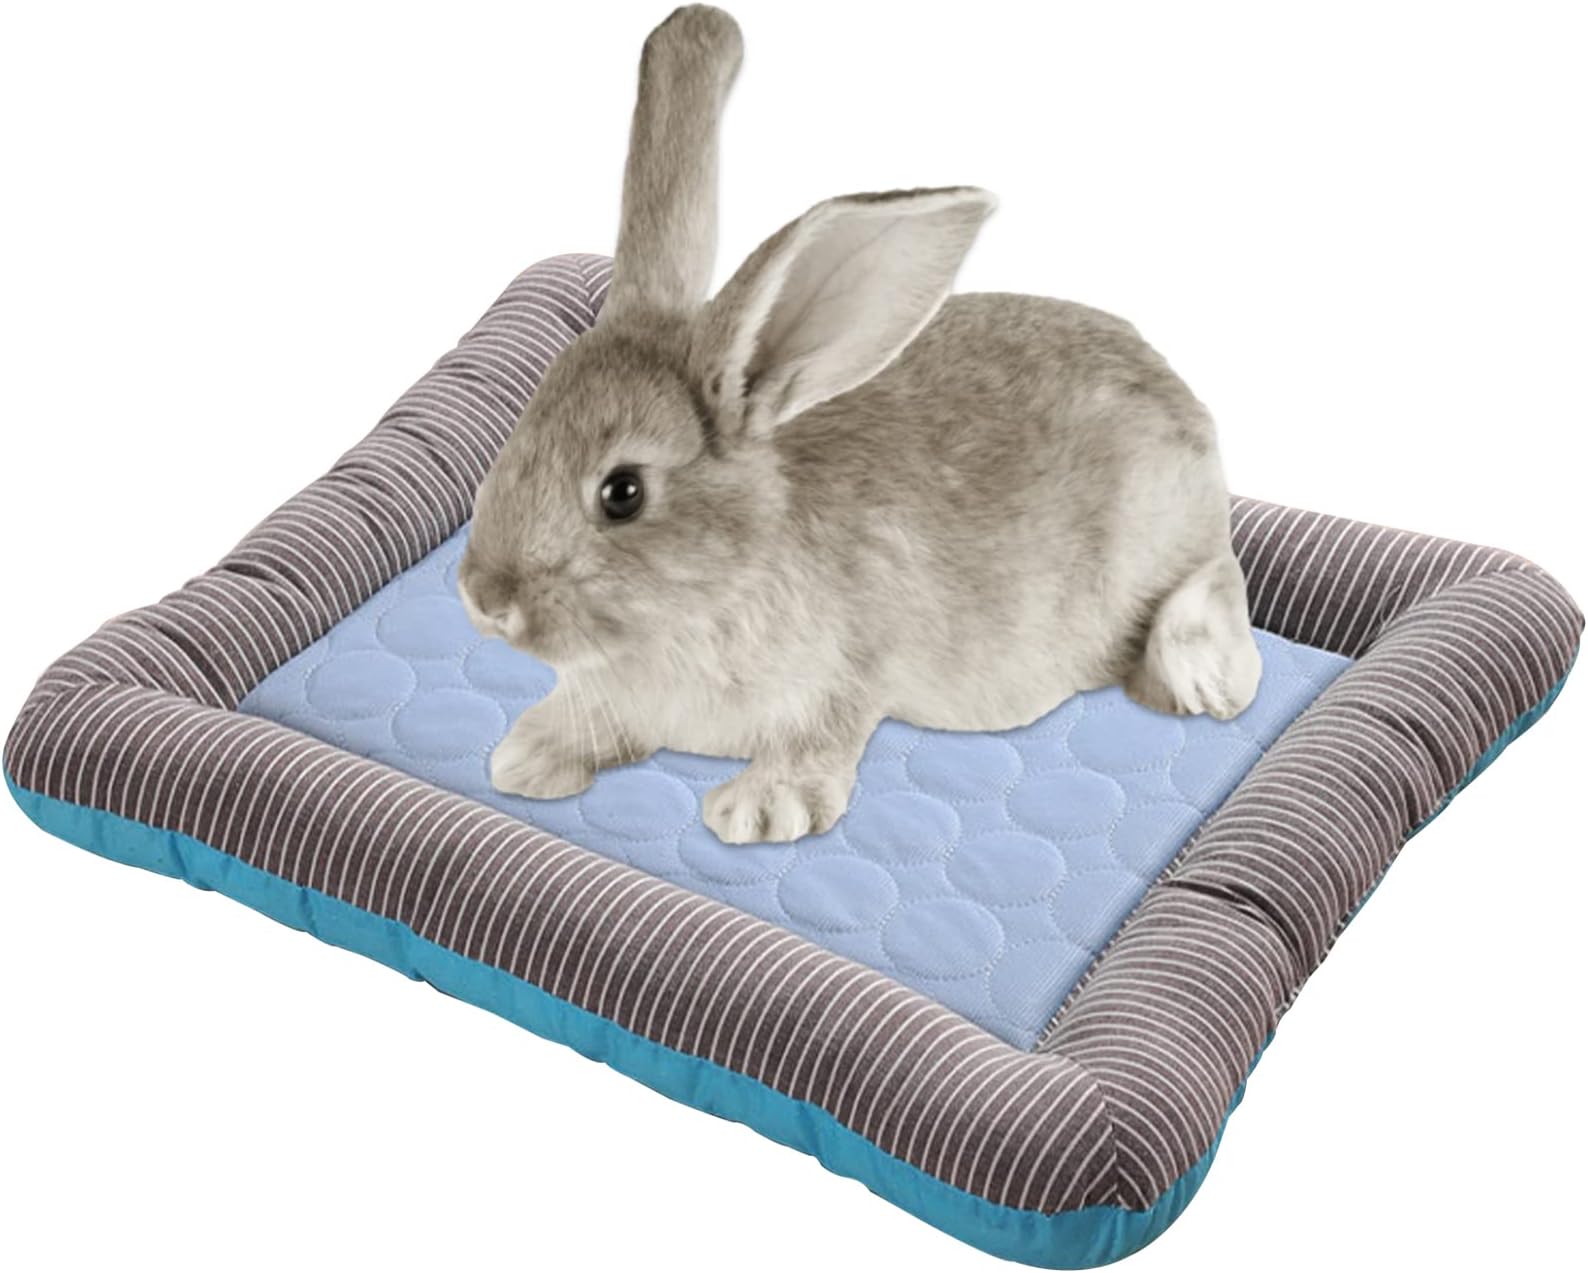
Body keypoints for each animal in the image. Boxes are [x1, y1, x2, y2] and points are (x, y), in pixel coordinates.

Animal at [459, 5, 1262, 845]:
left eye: (622, 492)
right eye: (522, 423)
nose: (485, 599)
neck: (724, 577)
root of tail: (1180, 392)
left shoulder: (840, 681)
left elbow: (819, 739)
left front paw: (760, 810)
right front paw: (529, 753)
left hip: (1166, 540)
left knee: (1217, 580)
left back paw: (1200, 675)